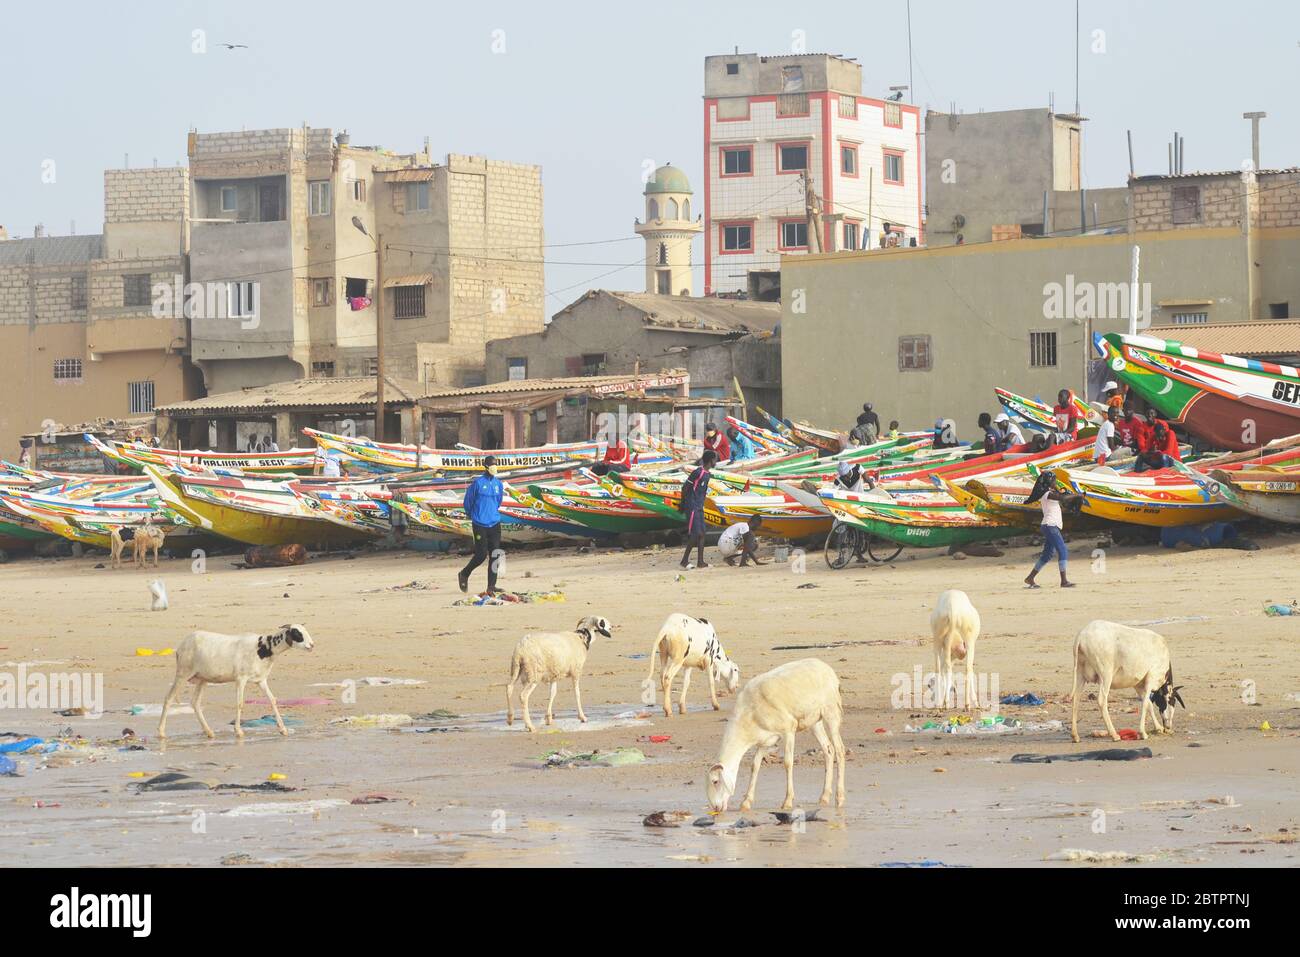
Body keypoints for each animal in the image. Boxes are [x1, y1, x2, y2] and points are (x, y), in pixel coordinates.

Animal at [158, 624, 315, 740]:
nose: (312, 645)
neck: (263, 648)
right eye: (297, 633)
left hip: (202, 678)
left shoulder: (261, 680)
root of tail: (180, 647)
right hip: (183, 673)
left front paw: (283, 729)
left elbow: (272, 700)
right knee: (168, 698)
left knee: (195, 703)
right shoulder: (241, 678)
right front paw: (238, 731)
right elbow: (240, 703)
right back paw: (161, 732)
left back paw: (209, 732)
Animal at [705, 658, 845, 813]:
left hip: (831, 711)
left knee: (840, 750)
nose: (716, 808)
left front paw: (787, 801)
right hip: (814, 720)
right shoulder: (765, 739)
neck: (748, 715)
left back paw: (839, 798)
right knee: (828, 750)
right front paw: (746, 802)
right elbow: (755, 765)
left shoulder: (789, 729)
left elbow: (788, 763)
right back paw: (824, 797)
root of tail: (826, 667)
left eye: (715, 781)